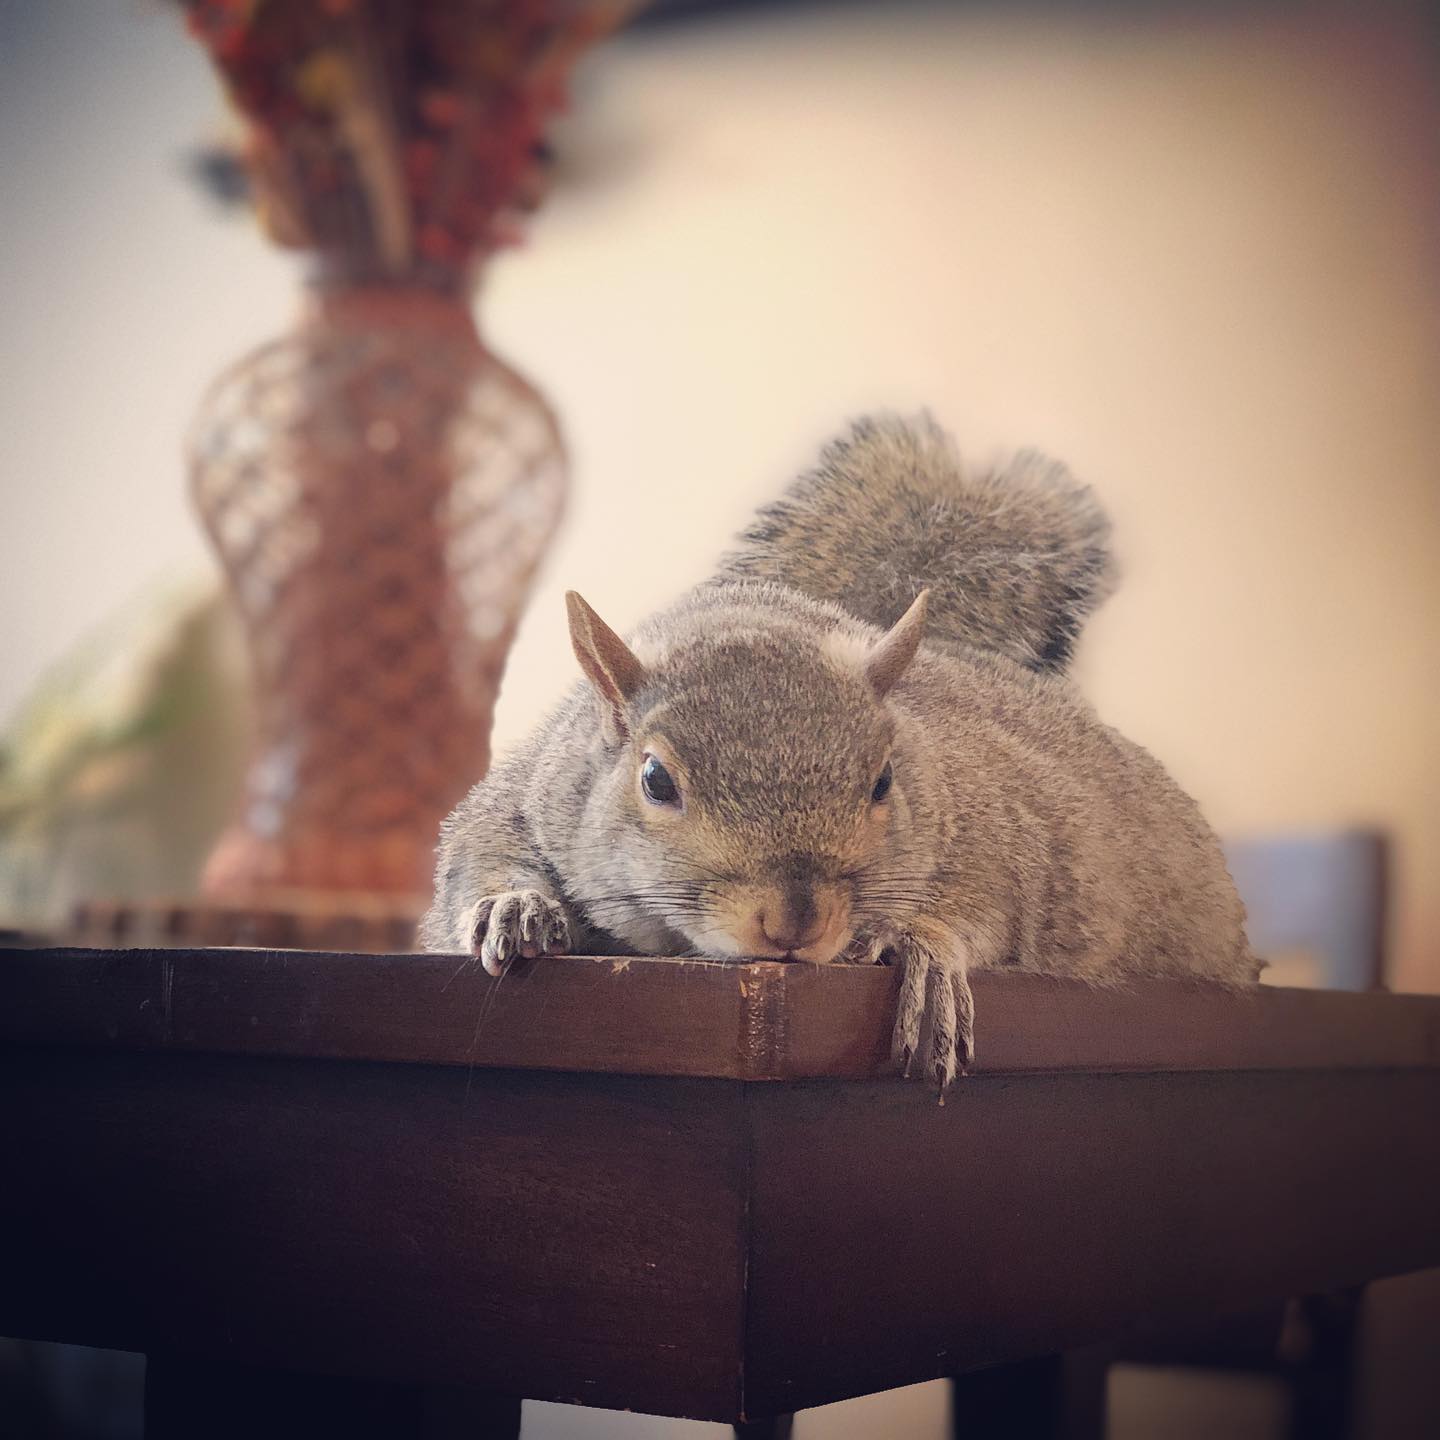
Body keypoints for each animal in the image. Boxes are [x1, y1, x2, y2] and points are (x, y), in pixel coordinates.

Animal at [422, 414, 1257, 1087]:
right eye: (655, 779)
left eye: (885, 780)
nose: (795, 921)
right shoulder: (527, 792)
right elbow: (477, 850)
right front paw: (514, 905)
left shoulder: (1007, 834)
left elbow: (984, 902)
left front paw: (923, 950)